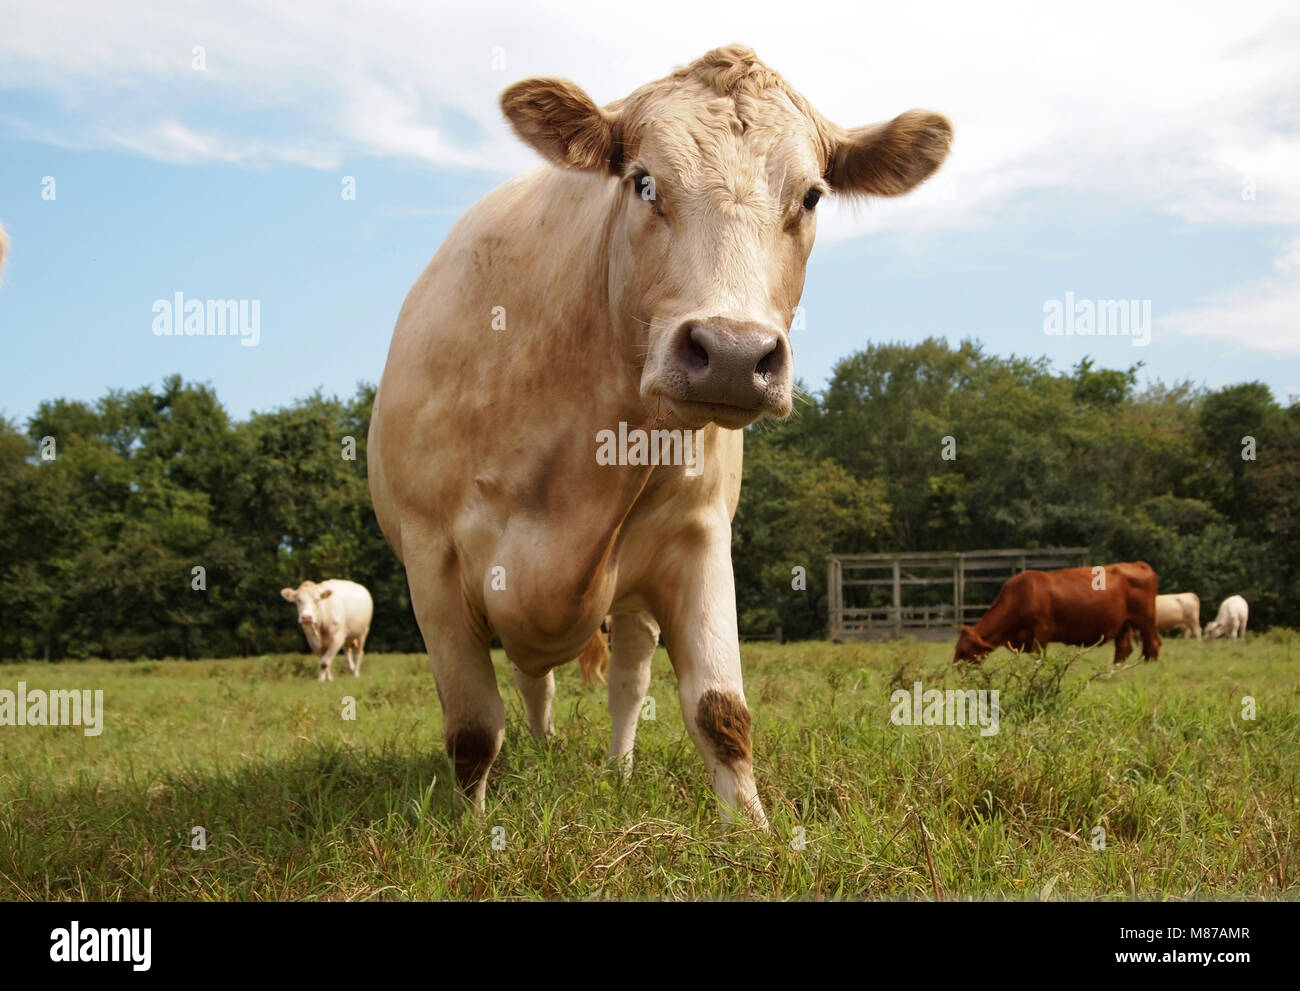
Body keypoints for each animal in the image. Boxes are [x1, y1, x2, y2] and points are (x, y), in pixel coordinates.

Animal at [367, 45, 952, 827]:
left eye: (811, 196)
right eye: (644, 181)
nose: (733, 353)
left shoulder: (697, 536)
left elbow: (720, 710)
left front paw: (756, 834)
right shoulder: (431, 556)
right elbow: (472, 727)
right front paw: (471, 829)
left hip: (634, 598)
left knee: (626, 679)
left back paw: (617, 769)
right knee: (530, 683)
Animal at [954, 562, 1161, 665]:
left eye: (964, 651)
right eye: (957, 649)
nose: (956, 668)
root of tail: (1138, 564)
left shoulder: (1042, 630)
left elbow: (1038, 656)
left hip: (1146, 620)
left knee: (1153, 642)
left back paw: (1147, 663)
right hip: (1123, 624)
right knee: (1123, 647)